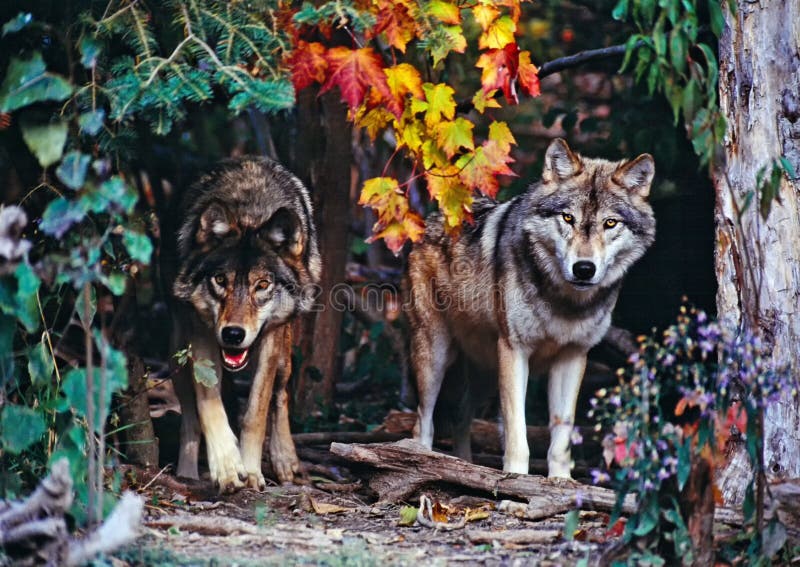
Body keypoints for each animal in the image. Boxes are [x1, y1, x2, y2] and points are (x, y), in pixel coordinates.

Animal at [169, 157, 321, 492]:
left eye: (262, 285)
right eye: (220, 280)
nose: (233, 334)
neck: (250, 211)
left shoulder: (270, 342)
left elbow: (256, 413)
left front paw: (250, 471)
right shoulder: (200, 332)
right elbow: (209, 404)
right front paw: (227, 467)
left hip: (284, 353)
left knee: (280, 395)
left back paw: (285, 460)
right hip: (176, 352)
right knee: (189, 416)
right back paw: (187, 472)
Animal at [406, 138, 655, 478]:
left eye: (610, 223)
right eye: (568, 218)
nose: (584, 269)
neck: (564, 303)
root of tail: (432, 218)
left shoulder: (572, 357)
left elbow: (561, 437)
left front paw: (561, 481)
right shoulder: (515, 351)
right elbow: (516, 432)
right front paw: (516, 478)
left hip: (485, 371)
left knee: (460, 415)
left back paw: (465, 467)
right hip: (436, 356)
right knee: (424, 421)